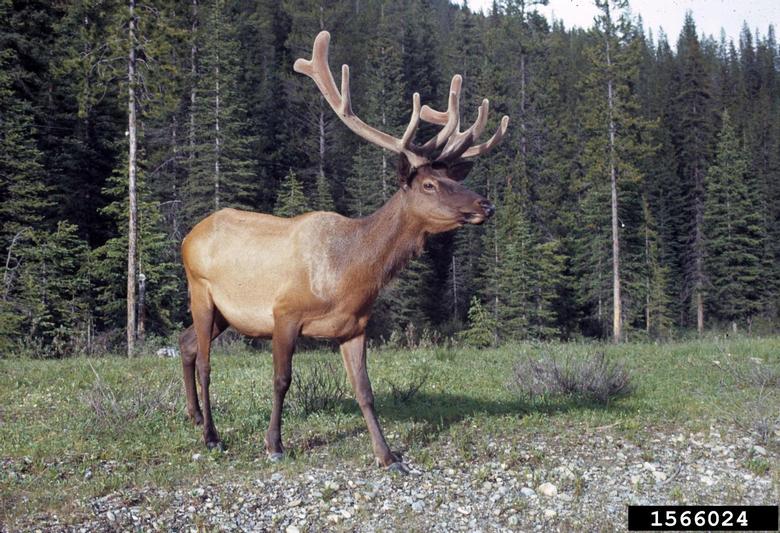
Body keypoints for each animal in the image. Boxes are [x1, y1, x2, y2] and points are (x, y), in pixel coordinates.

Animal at [179, 31, 508, 473]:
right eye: (429, 185)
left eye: (452, 178)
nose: (485, 206)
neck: (351, 274)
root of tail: (189, 236)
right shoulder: (284, 314)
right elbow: (281, 380)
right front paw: (274, 444)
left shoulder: (354, 327)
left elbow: (365, 390)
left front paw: (388, 456)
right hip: (201, 292)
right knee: (205, 361)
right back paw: (212, 435)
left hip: (226, 314)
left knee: (185, 344)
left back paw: (195, 417)